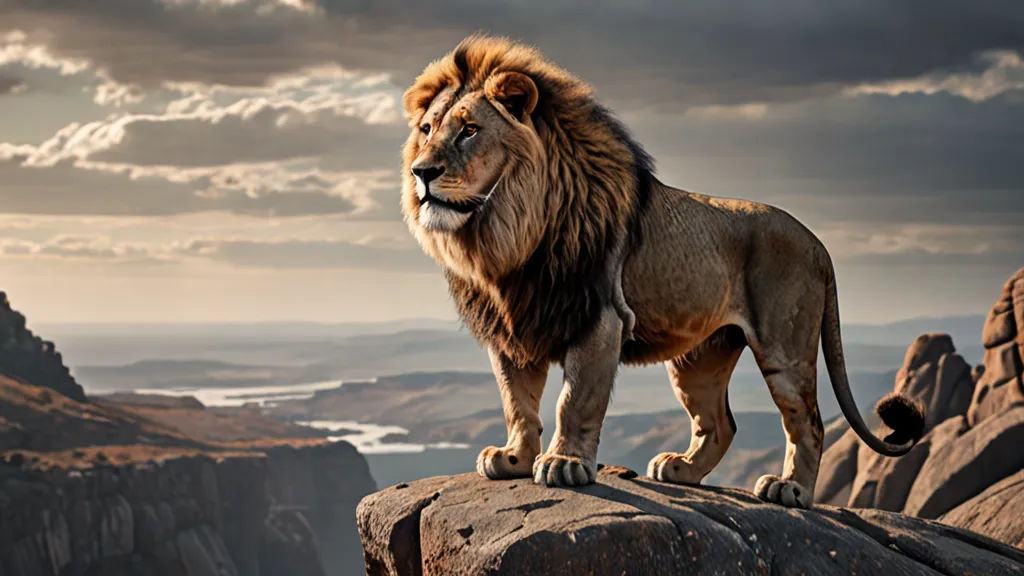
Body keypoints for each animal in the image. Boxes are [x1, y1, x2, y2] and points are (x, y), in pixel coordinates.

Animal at [400, 35, 925, 508]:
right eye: (427, 129)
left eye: (469, 130)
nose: (421, 172)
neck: (505, 238)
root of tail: (819, 244)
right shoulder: (513, 328)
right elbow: (517, 402)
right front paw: (513, 458)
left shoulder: (599, 317)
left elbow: (575, 400)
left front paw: (564, 464)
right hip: (699, 358)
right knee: (720, 423)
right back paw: (681, 470)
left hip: (785, 348)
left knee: (808, 422)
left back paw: (790, 489)